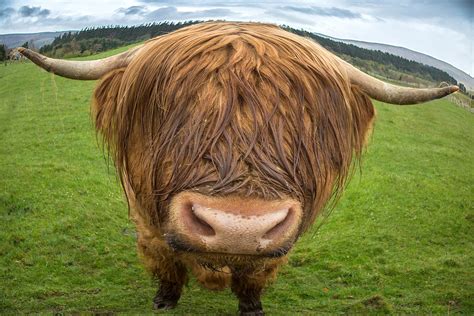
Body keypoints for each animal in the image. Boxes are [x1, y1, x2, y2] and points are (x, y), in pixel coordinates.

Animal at [19, 22, 460, 316]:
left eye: (305, 119)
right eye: (168, 107)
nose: (239, 226)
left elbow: (255, 272)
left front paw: (252, 306)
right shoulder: (146, 219)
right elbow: (166, 259)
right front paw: (165, 298)